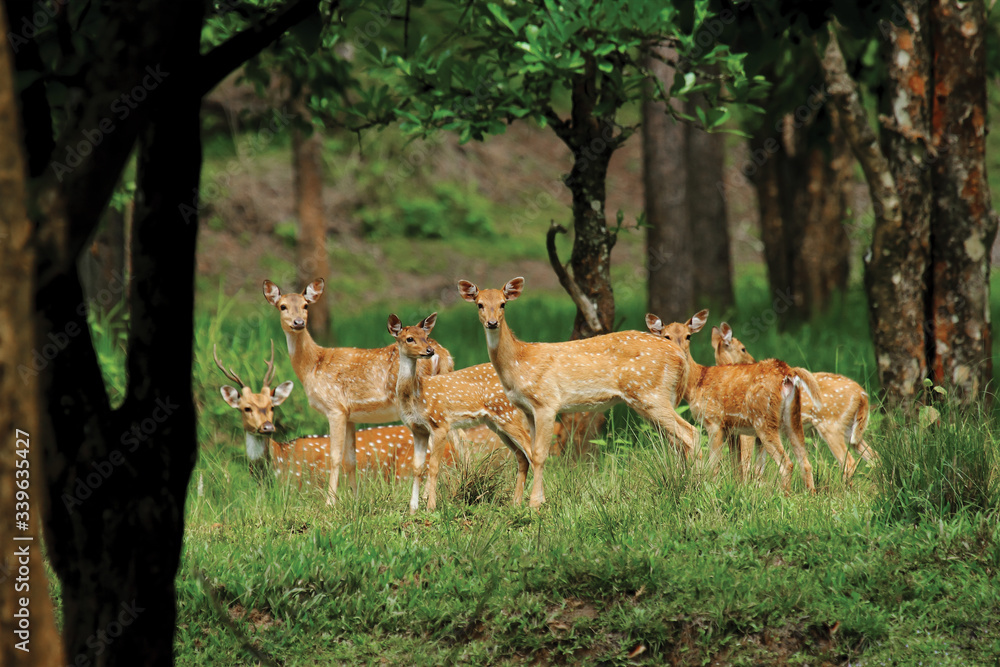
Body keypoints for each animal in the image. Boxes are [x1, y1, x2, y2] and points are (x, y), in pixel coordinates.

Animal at [262, 278, 455, 504]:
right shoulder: (350, 416)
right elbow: (350, 460)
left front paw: (330, 503)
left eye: (305, 305)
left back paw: (427, 497)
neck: (313, 365)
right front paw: (354, 499)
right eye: (282, 306)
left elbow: (335, 457)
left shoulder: (335, 407)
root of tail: (442, 354)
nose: (298, 322)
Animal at [387, 312, 534, 513]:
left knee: (533, 452)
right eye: (410, 338)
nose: (429, 350)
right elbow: (418, 467)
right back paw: (516, 503)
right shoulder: (418, 430)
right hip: (497, 423)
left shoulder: (440, 423)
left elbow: (434, 466)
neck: (416, 395)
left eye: (426, 336)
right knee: (522, 456)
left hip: (508, 415)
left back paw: (537, 503)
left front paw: (431, 507)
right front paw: (412, 509)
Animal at [458, 277, 700, 508]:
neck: (519, 361)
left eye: (503, 303)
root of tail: (679, 355)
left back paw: (697, 485)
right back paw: (684, 482)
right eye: (480, 304)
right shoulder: (527, 409)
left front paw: (535, 504)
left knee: (691, 433)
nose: (492, 323)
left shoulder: (546, 402)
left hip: (651, 393)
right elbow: (532, 453)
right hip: (653, 398)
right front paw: (535, 501)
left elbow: (540, 454)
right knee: (678, 440)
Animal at [645, 310, 822, 493]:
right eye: (666, 336)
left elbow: (714, 464)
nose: (678, 350)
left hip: (763, 419)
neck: (697, 383)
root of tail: (787, 372)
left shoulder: (714, 421)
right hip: (792, 416)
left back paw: (784, 494)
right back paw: (810, 494)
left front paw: (710, 487)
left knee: (787, 464)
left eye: (689, 336)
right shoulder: (732, 429)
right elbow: (736, 467)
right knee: (805, 462)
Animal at [711, 322, 876, 480]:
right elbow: (750, 467)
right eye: (743, 349)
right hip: (850, 428)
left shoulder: (747, 432)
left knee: (849, 462)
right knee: (873, 456)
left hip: (831, 425)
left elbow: (746, 464)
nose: (754, 361)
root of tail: (862, 394)